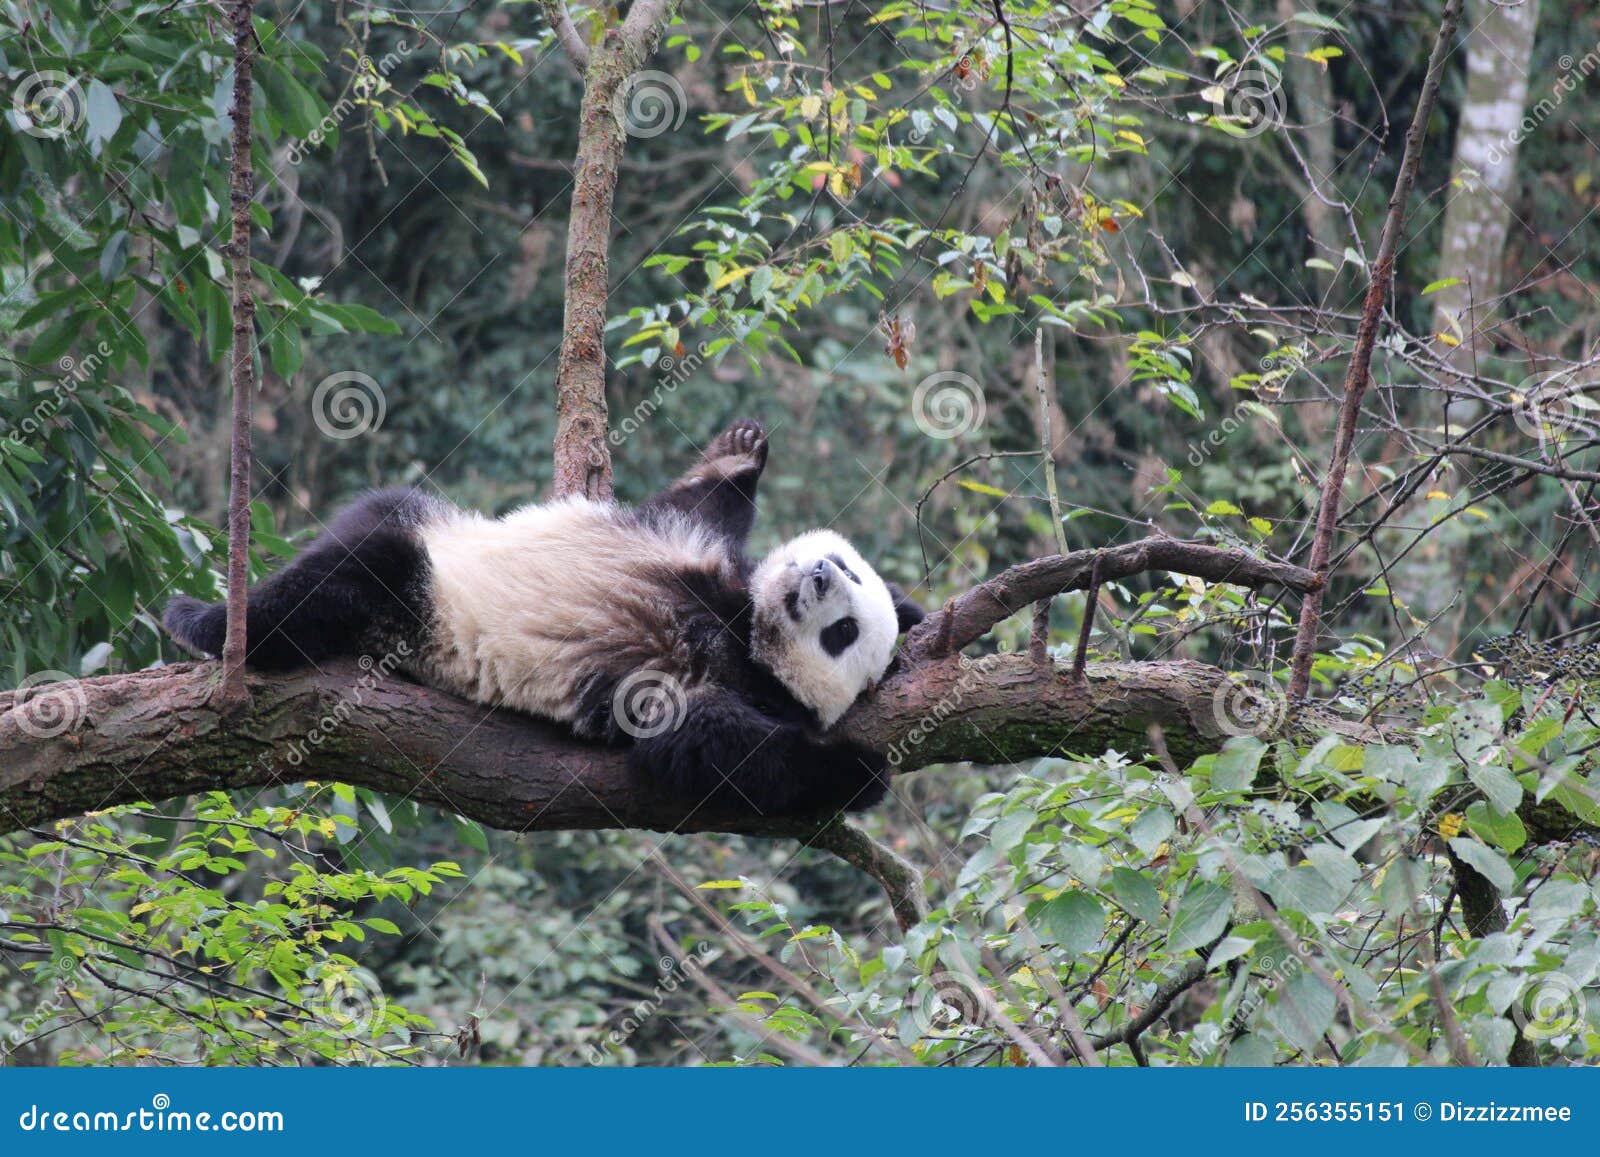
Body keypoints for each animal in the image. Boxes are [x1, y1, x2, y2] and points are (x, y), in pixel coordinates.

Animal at [164, 420, 924, 815]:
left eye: (844, 633)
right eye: (851, 570)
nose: (818, 576)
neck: (745, 625)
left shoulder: (702, 672)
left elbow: (709, 745)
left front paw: (857, 772)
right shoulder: (694, 553)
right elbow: (691, 506)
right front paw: (738, 454)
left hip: (417, 613)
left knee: (349, 581)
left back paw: (211, 625)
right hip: (430, 536)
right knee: (365, 534)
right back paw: (206, 617)